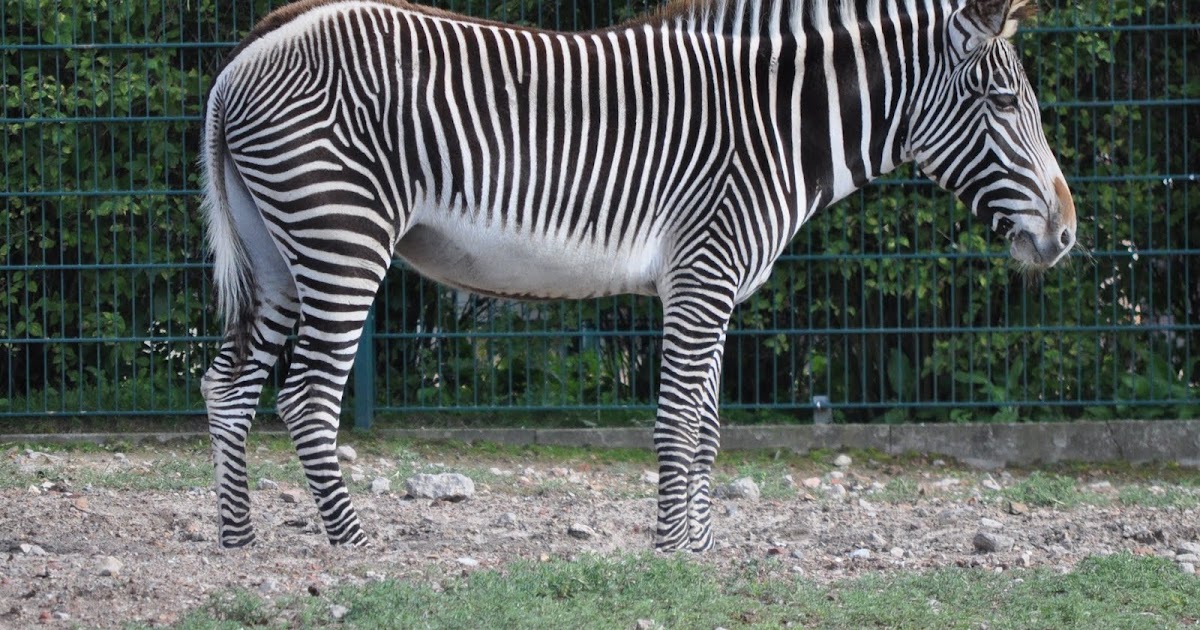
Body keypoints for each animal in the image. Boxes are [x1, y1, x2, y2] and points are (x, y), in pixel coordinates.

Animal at [200, 0, 1076, 551]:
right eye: (1005, 101)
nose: (1067, 235)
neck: (780, 129)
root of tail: (251, 46)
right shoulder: (701, 275)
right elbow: (678, 422)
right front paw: (671, 545)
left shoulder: (716, 289)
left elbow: (710, 429)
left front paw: (703, 542)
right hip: (341, 237)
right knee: (305, 399)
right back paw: (355, 543)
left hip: (279, 255)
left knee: (227, 385)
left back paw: (238, 536)